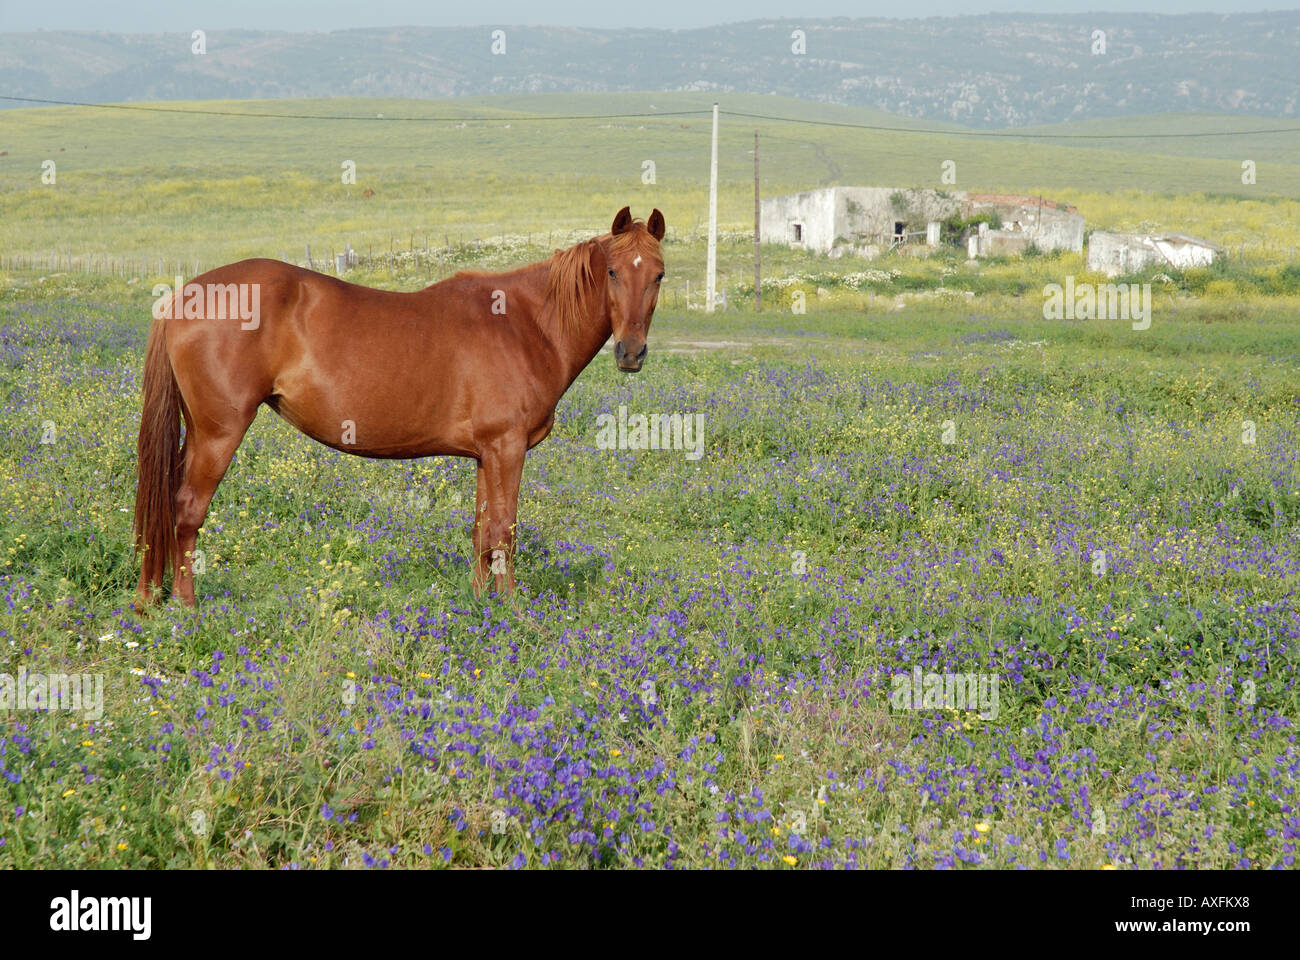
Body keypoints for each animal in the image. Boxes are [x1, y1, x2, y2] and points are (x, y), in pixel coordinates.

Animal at [133, 206, 666, 608]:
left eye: (659, 275)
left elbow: (481, 530)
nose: (631, 353)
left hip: (196, 432)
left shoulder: (486, 455)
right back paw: (185, 606)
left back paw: (148, 600)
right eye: (613, 272)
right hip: (219, 433)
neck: (524, 324)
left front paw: (481, 605)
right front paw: (512, 608)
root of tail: (183, 297)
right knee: (187, 510)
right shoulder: (507, 449)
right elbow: (504, 530)